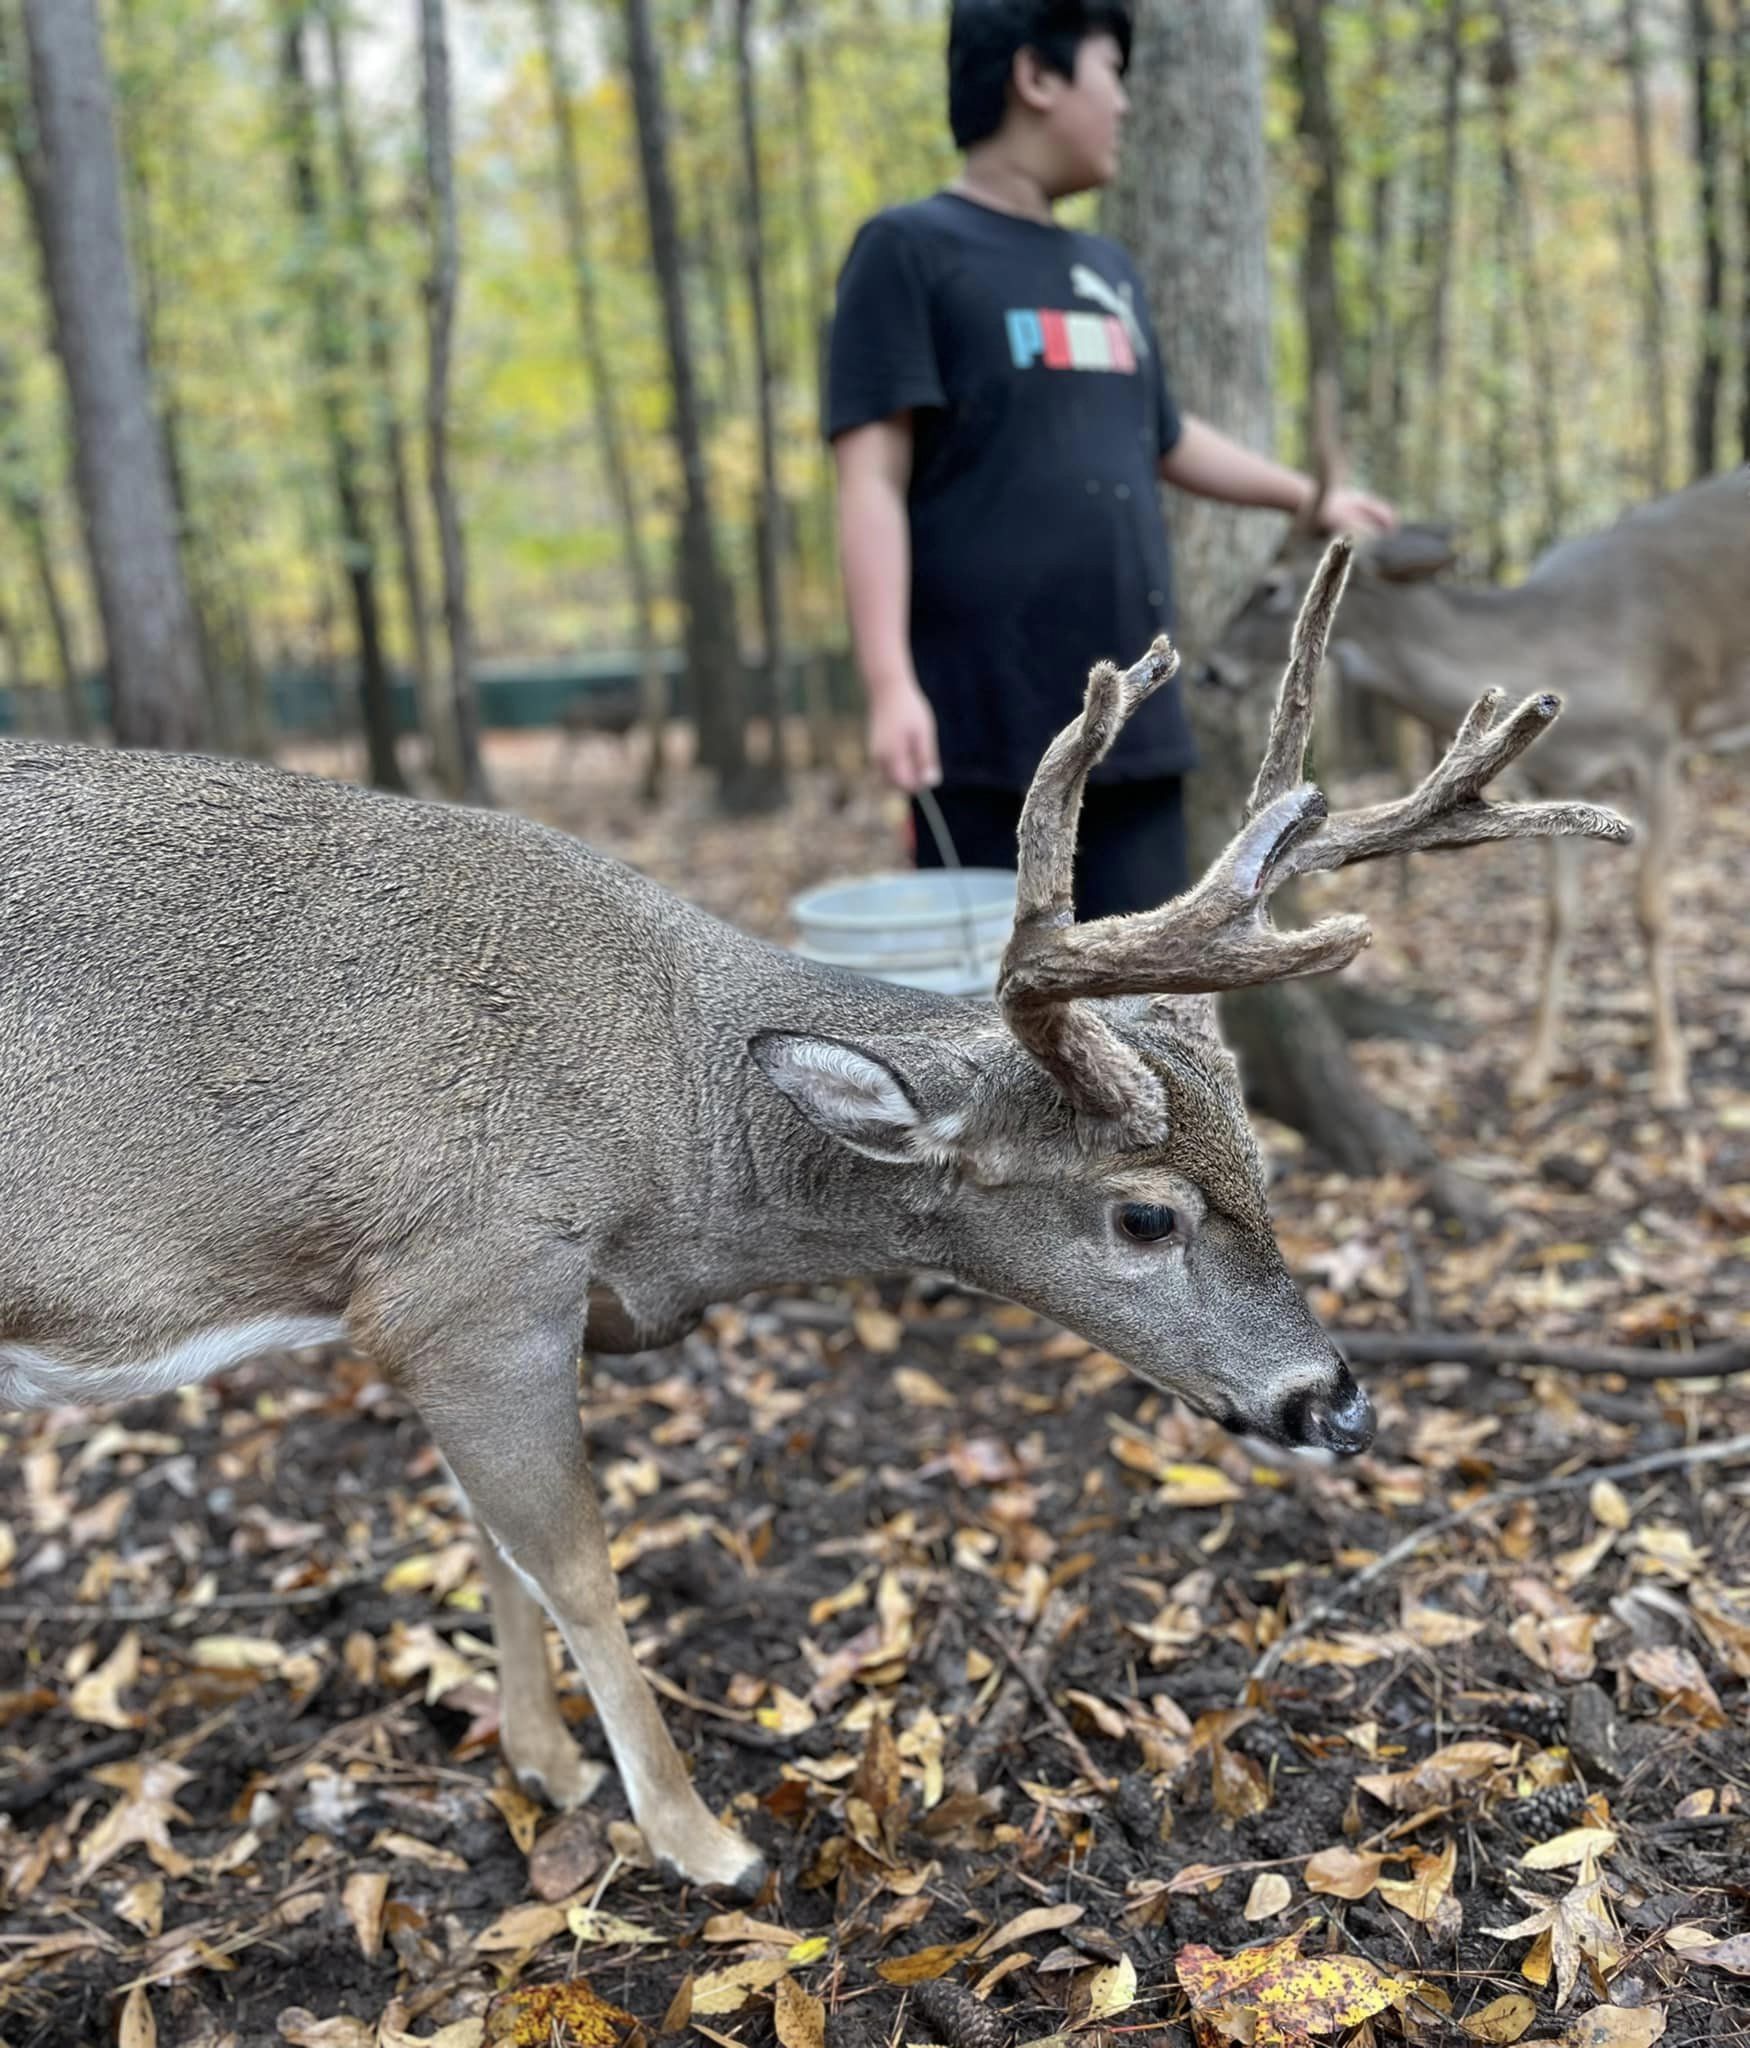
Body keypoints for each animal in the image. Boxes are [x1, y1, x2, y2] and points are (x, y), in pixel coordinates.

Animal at [0, 542, 1627, 1895]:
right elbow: (575, 1564)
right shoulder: (466, 1278)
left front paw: (540, 1762)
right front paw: (699, 1840)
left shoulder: (443, 1307)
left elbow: (494, 1550)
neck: (668, 1131)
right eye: (1144, 1217)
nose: (1335, 1402)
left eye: (1266, 1175)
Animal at [1200, 468, 1750, 1111]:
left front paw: (1668, 1074)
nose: (1210, 668)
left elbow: (1650, 911)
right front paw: (1533, 1070)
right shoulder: (1555, 777)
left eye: (1271, 586)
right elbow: (1558, 916)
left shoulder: (1661, 740)